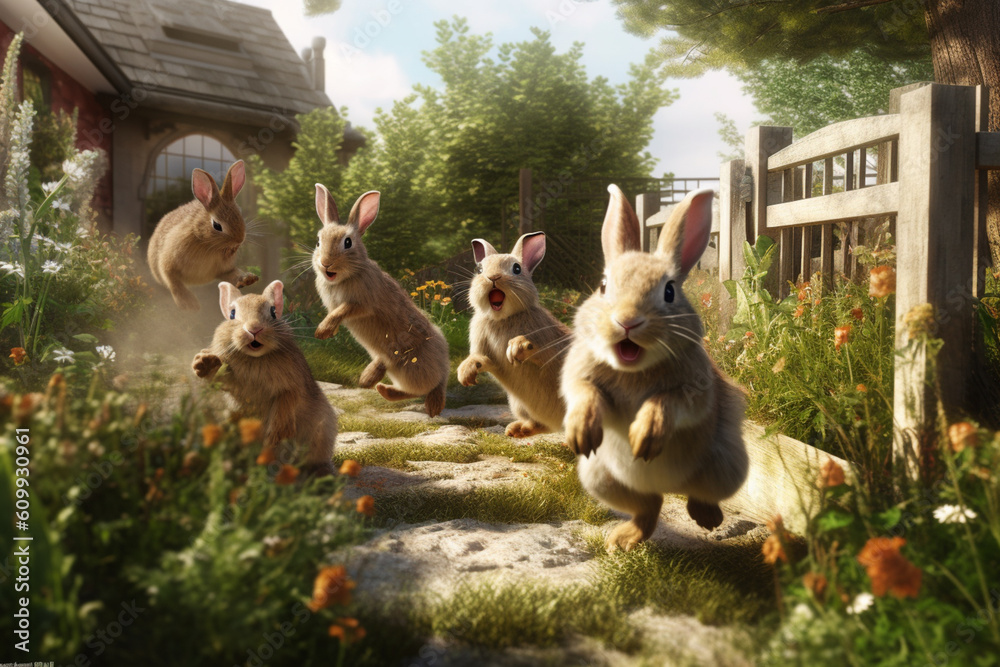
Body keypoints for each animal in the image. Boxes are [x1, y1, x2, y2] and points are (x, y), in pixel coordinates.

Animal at [147, 160, 258, 311]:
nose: (239, 240)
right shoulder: (167, 262)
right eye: (217, 225)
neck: (206, 242)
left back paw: (247, 279)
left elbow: (230, 272)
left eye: (240, 214)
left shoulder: (224, 268)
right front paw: (189, 303)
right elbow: (173, 281)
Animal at [191, 279, 338, 477]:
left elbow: (285, 406)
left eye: (273, 312)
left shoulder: (292, 386)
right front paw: (204, 362)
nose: (254, 329)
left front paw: (275, 437)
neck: (256, 357)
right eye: (232, 314)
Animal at [311, 184, 450, 417]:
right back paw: (374, 382)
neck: (347, 276)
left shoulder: (364, 302)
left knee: (431, 384)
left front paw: (323, 331)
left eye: (347, 242)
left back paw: (429, 404)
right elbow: (336, 313)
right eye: (319, 241)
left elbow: (344, 310)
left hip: (418, 365)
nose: (325, 263)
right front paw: (327, 331)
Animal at [457, 232, 571, 438]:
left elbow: (545, 353)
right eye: (479, 269)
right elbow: (483, 360)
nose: (493, 277)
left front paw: (518, 347)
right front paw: (465, 373)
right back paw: (516, 430)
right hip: (518, 405)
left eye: (517, 269)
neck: (503, 319)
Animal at [561, 185, 748, 553]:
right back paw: (623, 540)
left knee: (697, 495)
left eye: (670, 291)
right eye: (603, 286)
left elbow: (668, 401)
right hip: (598, 476)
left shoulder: (695, 391)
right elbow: (584, 391)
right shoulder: (579, 375)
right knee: (649, 507)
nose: (627, 321)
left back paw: (707, 518)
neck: (634, 369)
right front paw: (581, 432)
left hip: (726, 467)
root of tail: (666, 486)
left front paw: (644, 437)